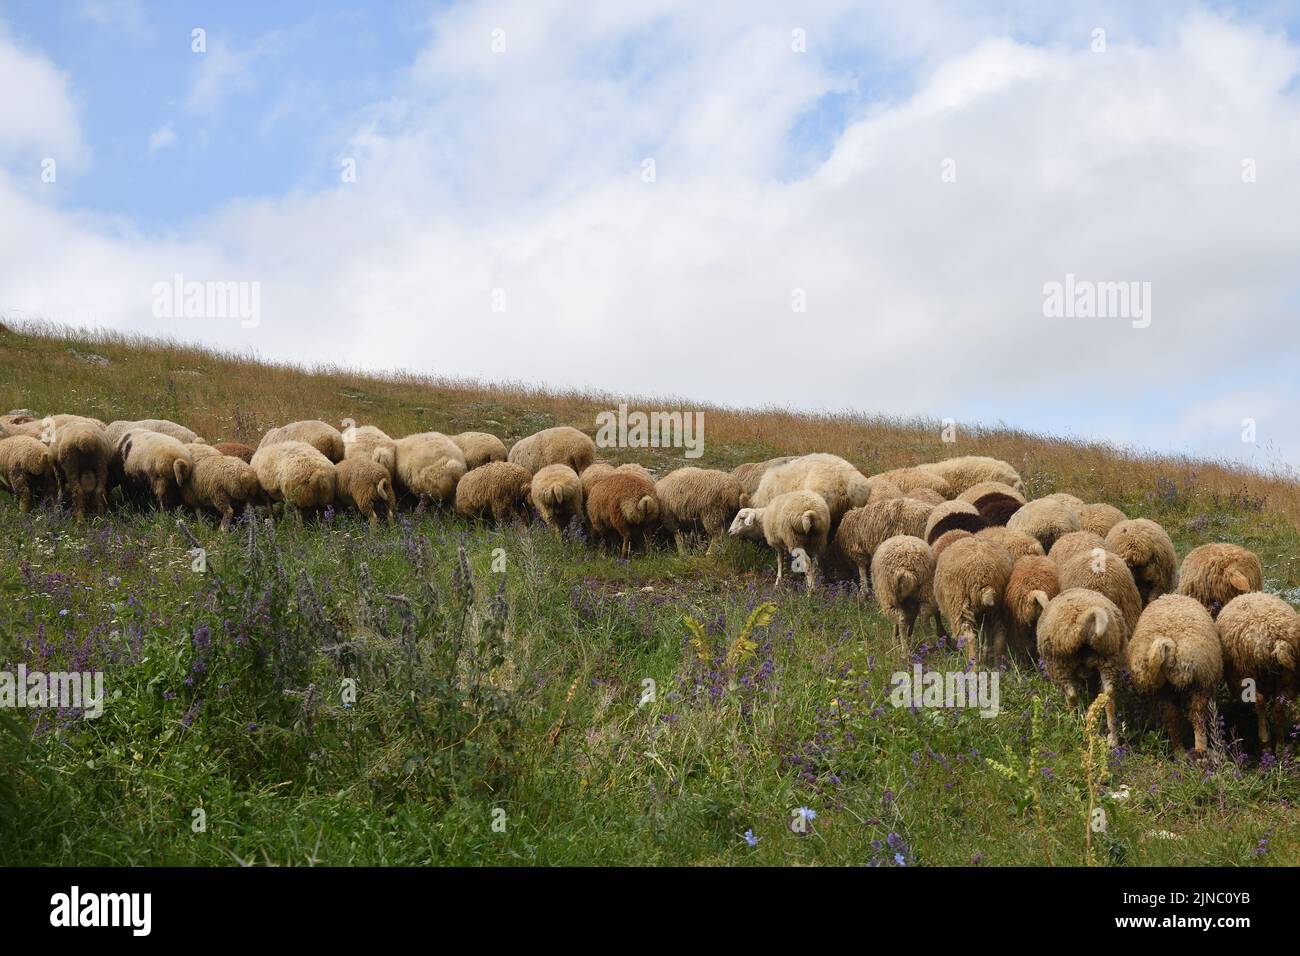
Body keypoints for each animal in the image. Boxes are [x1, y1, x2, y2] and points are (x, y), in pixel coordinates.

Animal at [1037, 588, 1128, 745]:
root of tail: (1087, 616)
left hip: (1059, 664)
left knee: (1071, 694)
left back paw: (1072, 723)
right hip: (1108, 659)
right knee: (1108, 694)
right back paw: (1112, 738)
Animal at [1127, 594, 1223, 760]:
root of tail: (1166, 644)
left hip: (1164, 689)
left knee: (1172, 719)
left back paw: (1179, 753)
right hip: (1201, 682)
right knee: (1197, 716)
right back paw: (1200, 750)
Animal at [1216, 592, 1300, 751]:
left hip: (1245, 674)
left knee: (1259, 702)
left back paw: (1265, 742)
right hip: (1289, 678)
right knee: (1279, 707)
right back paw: (1280, 747)